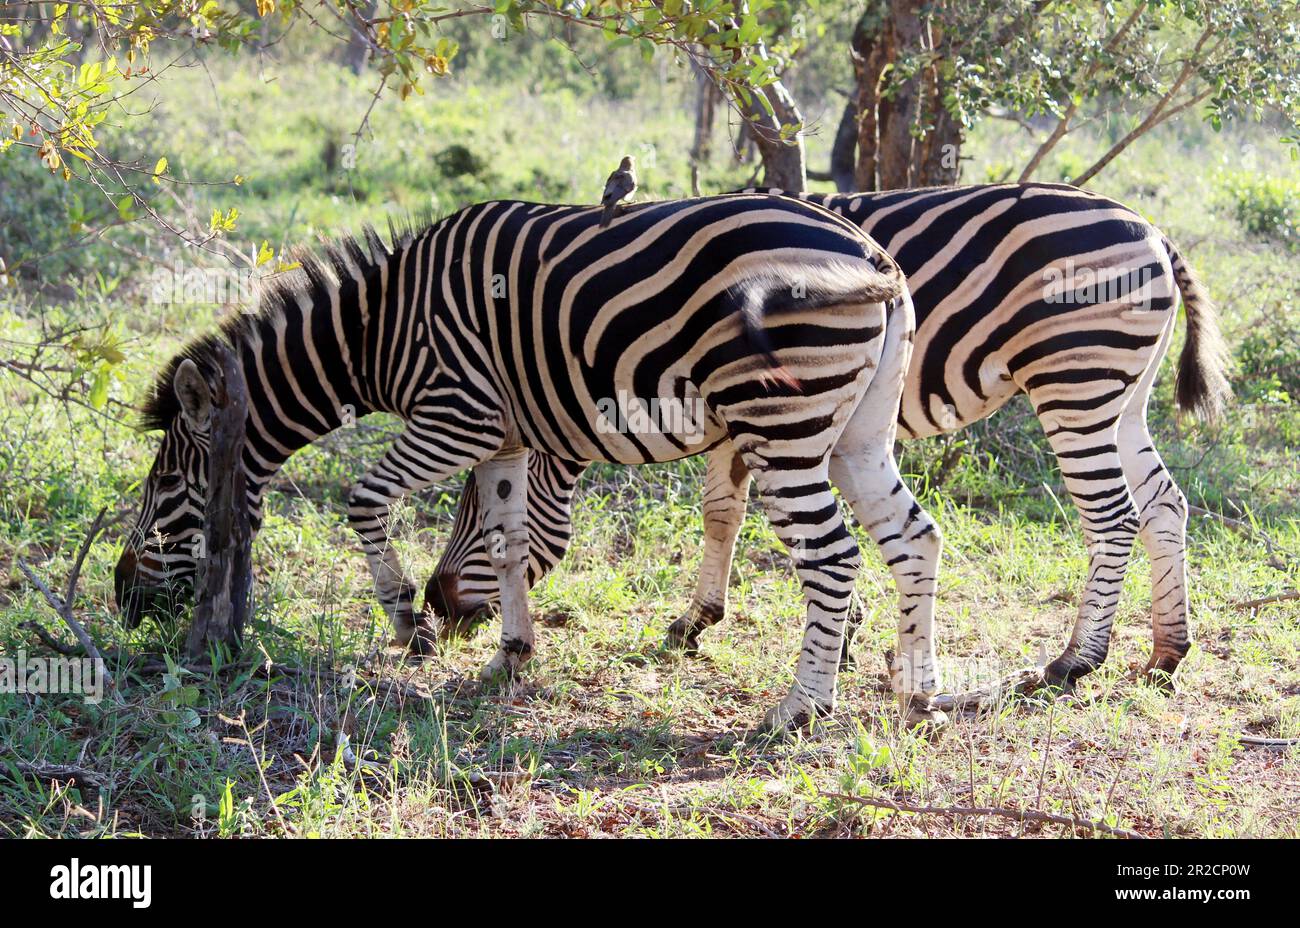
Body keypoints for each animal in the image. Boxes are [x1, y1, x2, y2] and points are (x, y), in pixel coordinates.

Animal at [114, 193, 943, 732]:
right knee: (915, 539)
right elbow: (508, 542)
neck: (379, 330)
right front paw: (510, 654)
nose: (122, 601)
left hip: (782, 422)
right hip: (857, 434)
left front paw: (407, 621)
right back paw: (919, 696)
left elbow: (363, 500)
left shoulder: (458, 416)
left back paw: (801, 708)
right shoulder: (502, 438)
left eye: (167, 490)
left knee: (834, 558)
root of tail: (872, 253)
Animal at [425, 183, 1230, 692]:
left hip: (1076, 380)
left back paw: (1074, 662)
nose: (433, 608)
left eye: (475, 511)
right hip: (1123, 394)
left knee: (1114, 517)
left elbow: (737, 516)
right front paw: (818, 635)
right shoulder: (758, 415)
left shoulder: (757, 404)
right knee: (1165, 505)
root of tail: (1154, 231)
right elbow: (731, 515)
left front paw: (728, 626)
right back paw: (1167, 652)